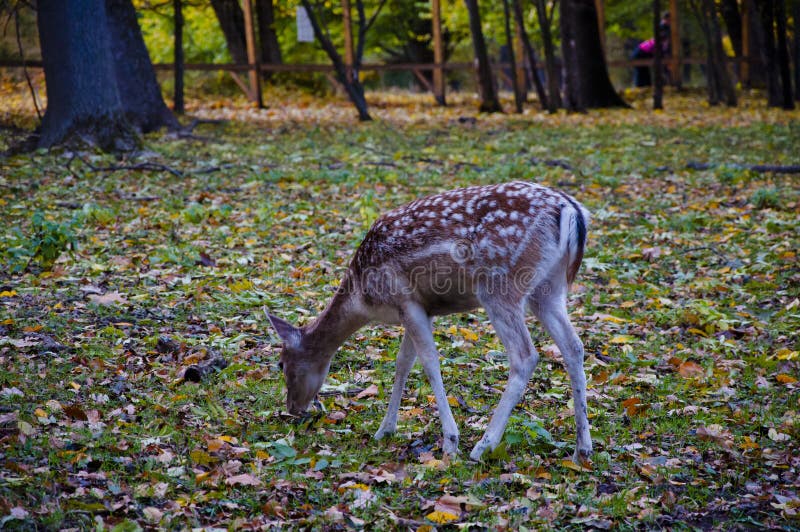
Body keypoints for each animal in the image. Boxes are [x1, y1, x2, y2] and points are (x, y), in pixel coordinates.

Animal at [268, 181, 592, 463]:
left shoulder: (405, 301)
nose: (292, 409)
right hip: (548, 289)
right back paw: (582, 450)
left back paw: (483, 446)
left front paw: (450, 441)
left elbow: (428, 362)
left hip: (499, 285)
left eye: (281, 364)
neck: (364, 295)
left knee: (525, 356)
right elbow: (403, 363)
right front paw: (384, 430)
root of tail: (571, 210)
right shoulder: (421, 308)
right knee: (574, 347)